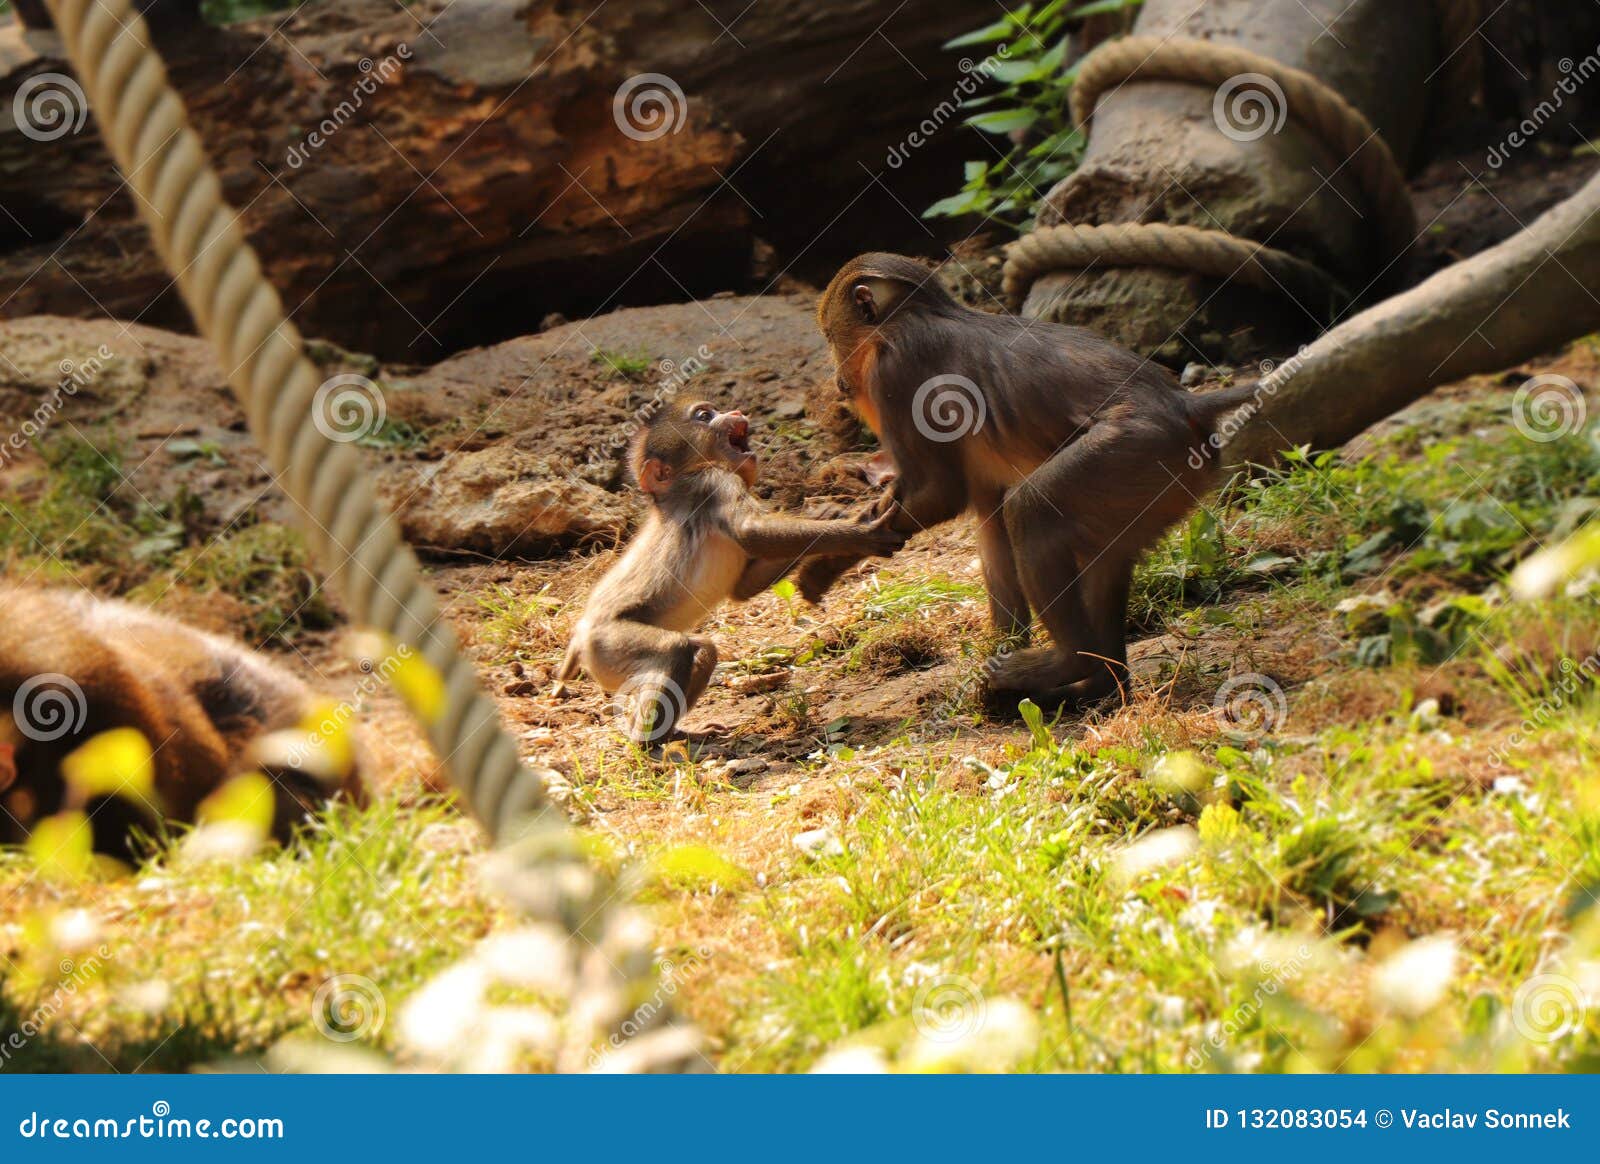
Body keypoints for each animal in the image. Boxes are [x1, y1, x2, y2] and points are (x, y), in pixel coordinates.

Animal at [554, 398, 907, 745]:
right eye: (704, 415)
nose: (735, 412)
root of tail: (580, 636)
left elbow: (743, 589)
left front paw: (828, 514)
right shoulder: (714, 481)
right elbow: (751, 533)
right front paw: (860, 531)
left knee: (702, 651)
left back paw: (677, 735)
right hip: (606, 645)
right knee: (675, 649)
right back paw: (648, 744)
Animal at [799, 252, 1268, 709]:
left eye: (830, 336)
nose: (838, 380)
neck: (916, 314)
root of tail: (1181, 402)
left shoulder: (897, 372)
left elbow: (943, 493)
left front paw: (837, 556)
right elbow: (988, 520)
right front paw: (1000, 647)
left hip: (1135, 449)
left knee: (1033, 507)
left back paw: (1071, 662)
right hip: (1155, 482)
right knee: (1102, 553)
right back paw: (1101, 683)